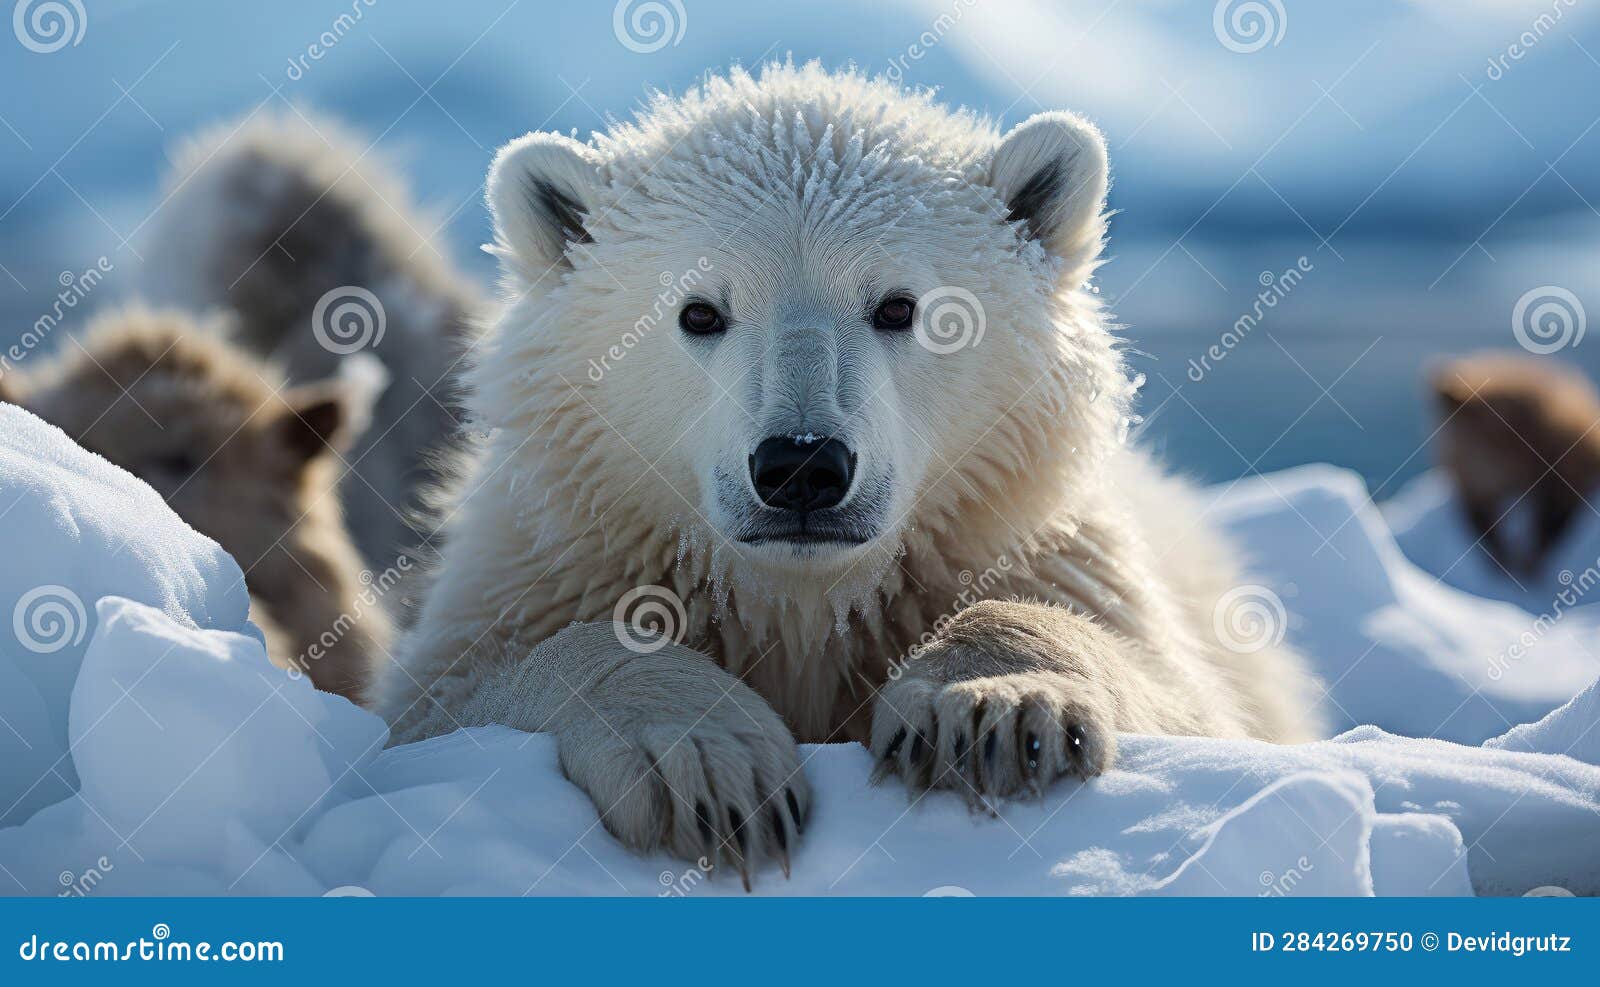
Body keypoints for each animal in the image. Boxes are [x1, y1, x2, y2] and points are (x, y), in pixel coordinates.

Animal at [371, 63, 1324, 887]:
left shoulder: (1043, 548)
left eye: (900, 306)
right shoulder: (547, 567)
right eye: (699, 312)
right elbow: (453, 698)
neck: (803, 603)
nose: (800, 464)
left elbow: (1182, 699)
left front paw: (991, 710)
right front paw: (704, 763)